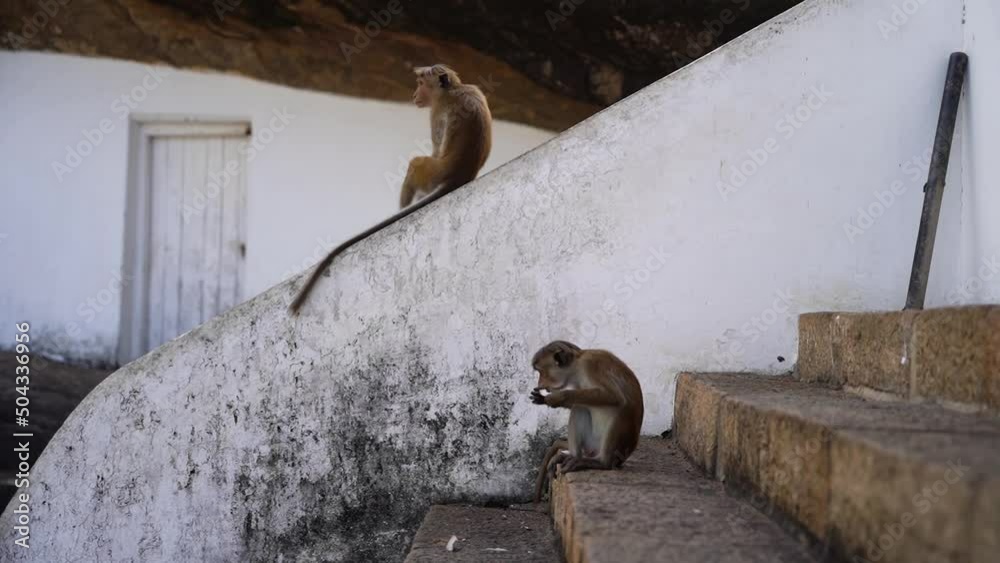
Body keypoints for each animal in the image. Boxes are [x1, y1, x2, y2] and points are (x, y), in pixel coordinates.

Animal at [289, 64, 492, 314]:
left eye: (421, 84)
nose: (414, 95)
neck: (451, 89)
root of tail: (458, 176)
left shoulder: (436, 113)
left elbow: (435, 147)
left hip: (429, 174)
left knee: (416, 163)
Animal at [529, 341, 644, 502]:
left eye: (541, 372)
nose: (540, 384)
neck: (577, 365)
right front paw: (543, 399)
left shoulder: (591, 365)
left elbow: (614, 396)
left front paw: (556, 398)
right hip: (591, 443)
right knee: (580, 407)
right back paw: (573, 456)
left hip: (619, 449)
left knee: (620, 409)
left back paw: (601, 463)